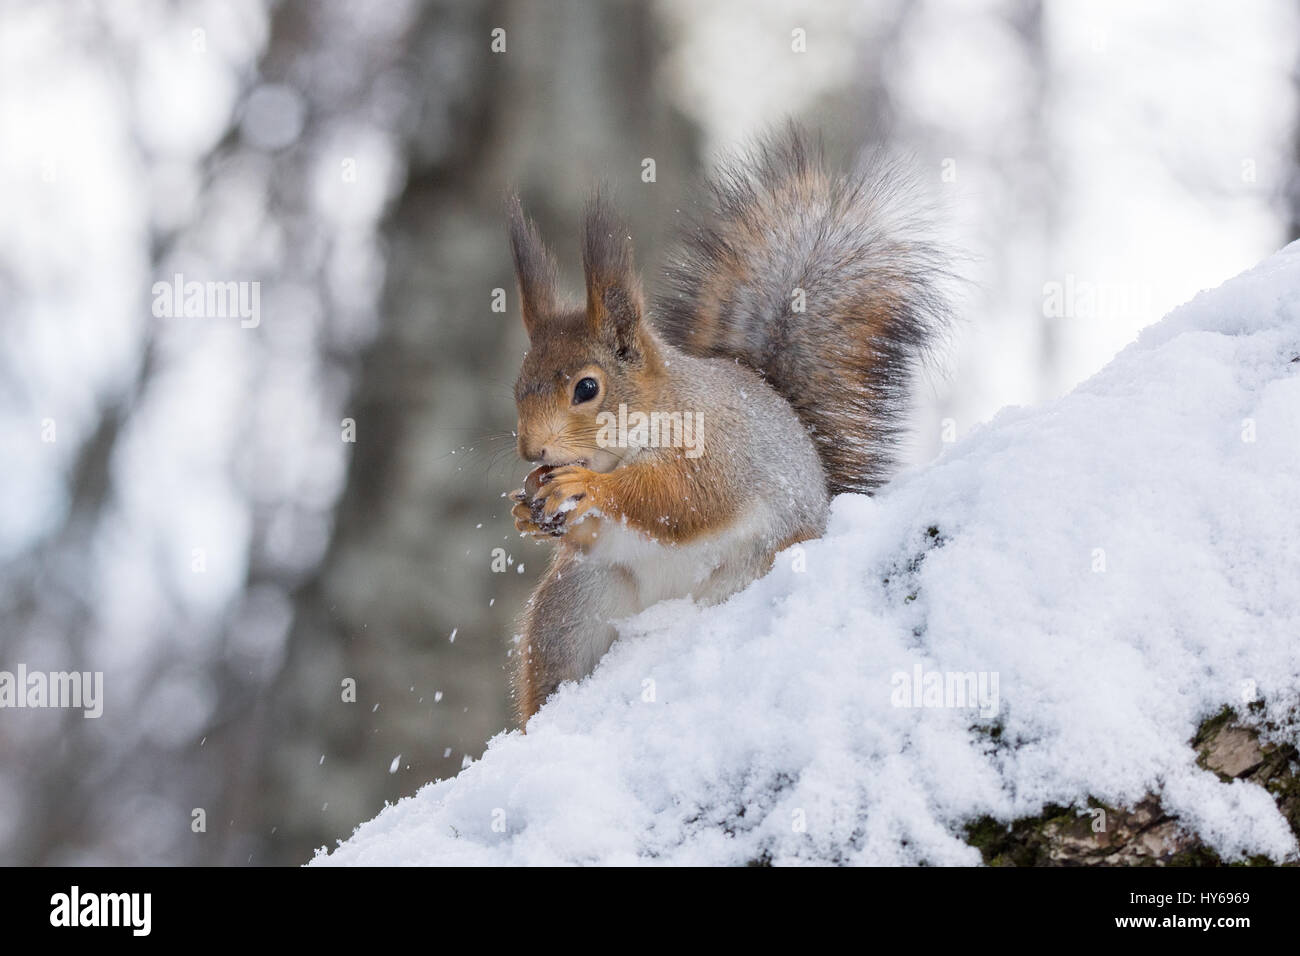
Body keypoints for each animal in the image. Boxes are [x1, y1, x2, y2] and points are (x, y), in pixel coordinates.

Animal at [505, 125, 949, 729]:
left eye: (587, 388)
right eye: (517, 385)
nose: (532, 452)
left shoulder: (717, 449)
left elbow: (682, 498)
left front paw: (589, 487)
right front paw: (527, 511)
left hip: (750, 571)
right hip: (574, 607)